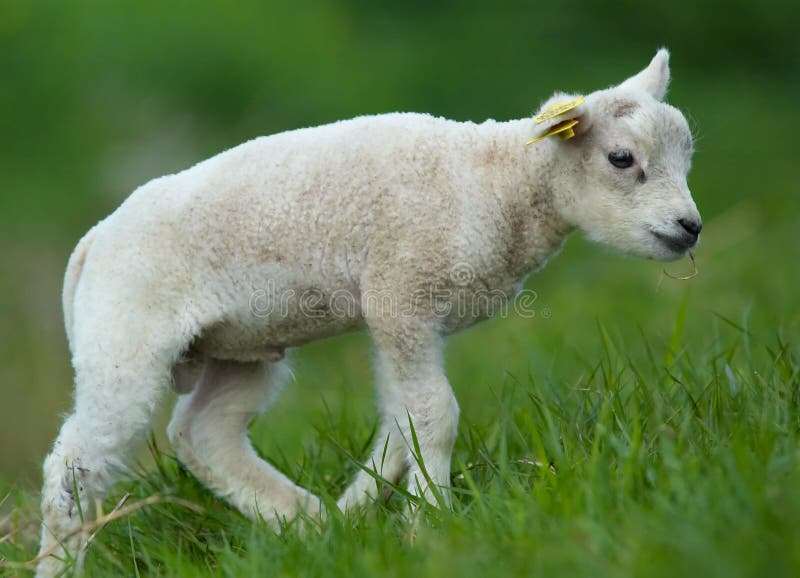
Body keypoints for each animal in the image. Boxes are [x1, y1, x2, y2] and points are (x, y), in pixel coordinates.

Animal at [35, 49, 701, 577]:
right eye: (621, 159)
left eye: (687, 159)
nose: (689, 227)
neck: (495, 182)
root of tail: (92, 243)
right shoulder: (401, 293)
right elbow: (433, 415)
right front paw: (433, 523)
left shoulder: (406, 315)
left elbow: (400, 422)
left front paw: (365, 519)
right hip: (125, 340)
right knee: (74, 467)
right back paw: (59, 562)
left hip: (241, 345)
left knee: (203, 433)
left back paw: (305, 522)